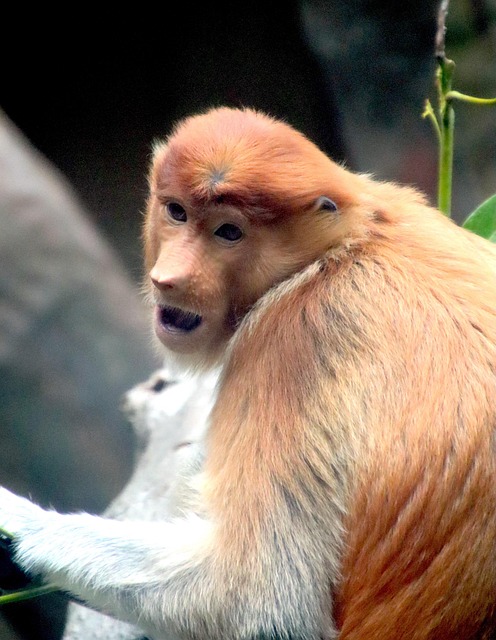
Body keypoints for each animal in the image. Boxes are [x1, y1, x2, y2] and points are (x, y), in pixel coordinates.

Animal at [1, 106, 496, 640]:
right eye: (177, 212)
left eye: (228, 232)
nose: (169, 279)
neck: (343, 246)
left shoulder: (289, 341)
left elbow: (259, 603)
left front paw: (16, 521)